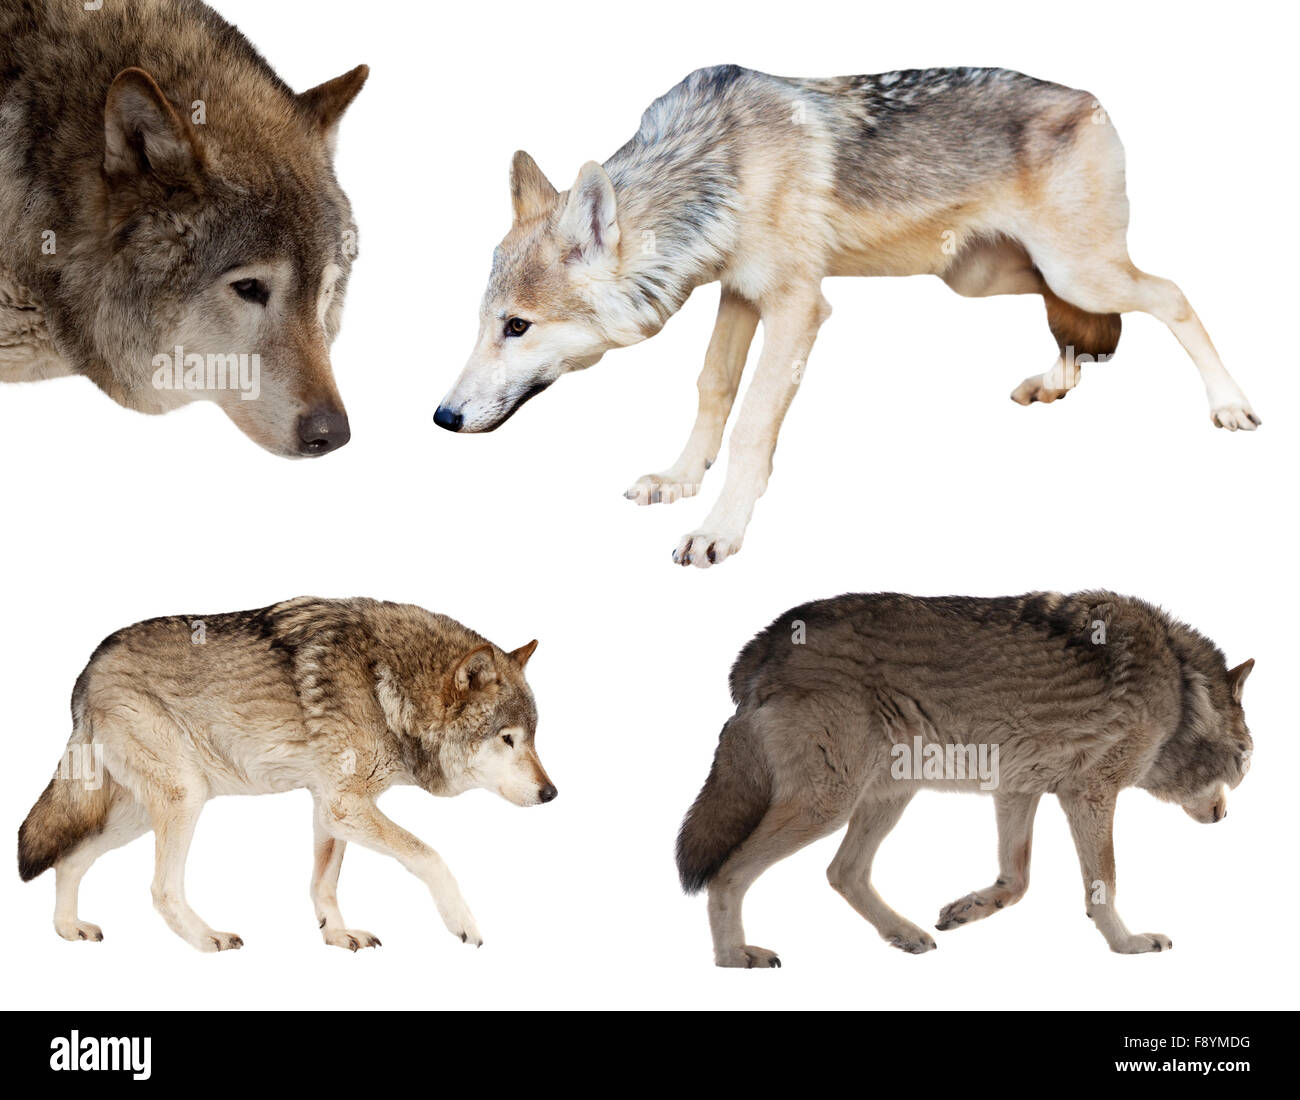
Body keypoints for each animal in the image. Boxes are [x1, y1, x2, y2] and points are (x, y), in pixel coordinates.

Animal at [18, 598, 556, 952]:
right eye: (508, 738)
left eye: (533, 737)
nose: (551, 793)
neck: (389, 688)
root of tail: (88, 667)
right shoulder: (346, 806)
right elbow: (431, 857)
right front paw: (463, 923)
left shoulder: (330, 807)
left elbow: (323, 883)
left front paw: (336, 934)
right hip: (184, 798)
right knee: (160, 889)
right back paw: (207, 937)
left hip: (140, 812)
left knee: (71, 859)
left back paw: (68, 929)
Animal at [438, 66, 1260, 567]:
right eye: (483, 324)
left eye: (516, 327)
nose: (443, 418)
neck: (716, 162)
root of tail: (1093, 99)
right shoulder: (740, 294)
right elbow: (712, 390)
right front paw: (678, 479)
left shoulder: (798, 304)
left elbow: (751, 425)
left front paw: (718, 530)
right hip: (992, 275)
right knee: (1080, 325)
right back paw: (1053, 383)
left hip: (1077, 270)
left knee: (1173, 295)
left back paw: (1230, 406)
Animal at [676, 591, 1254, 967]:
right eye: (1247, 760)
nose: (1225, 815)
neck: (1181, 687)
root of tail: (764, 644)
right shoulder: (1089, 794)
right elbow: (1103, 887)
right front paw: (1128, 946)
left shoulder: (1019, 789)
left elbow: (1016, 881)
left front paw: (969, 909)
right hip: (827, 806)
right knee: (728, 874)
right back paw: (732, 956)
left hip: (888, 797)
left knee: (842, 872)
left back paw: (904, 935)